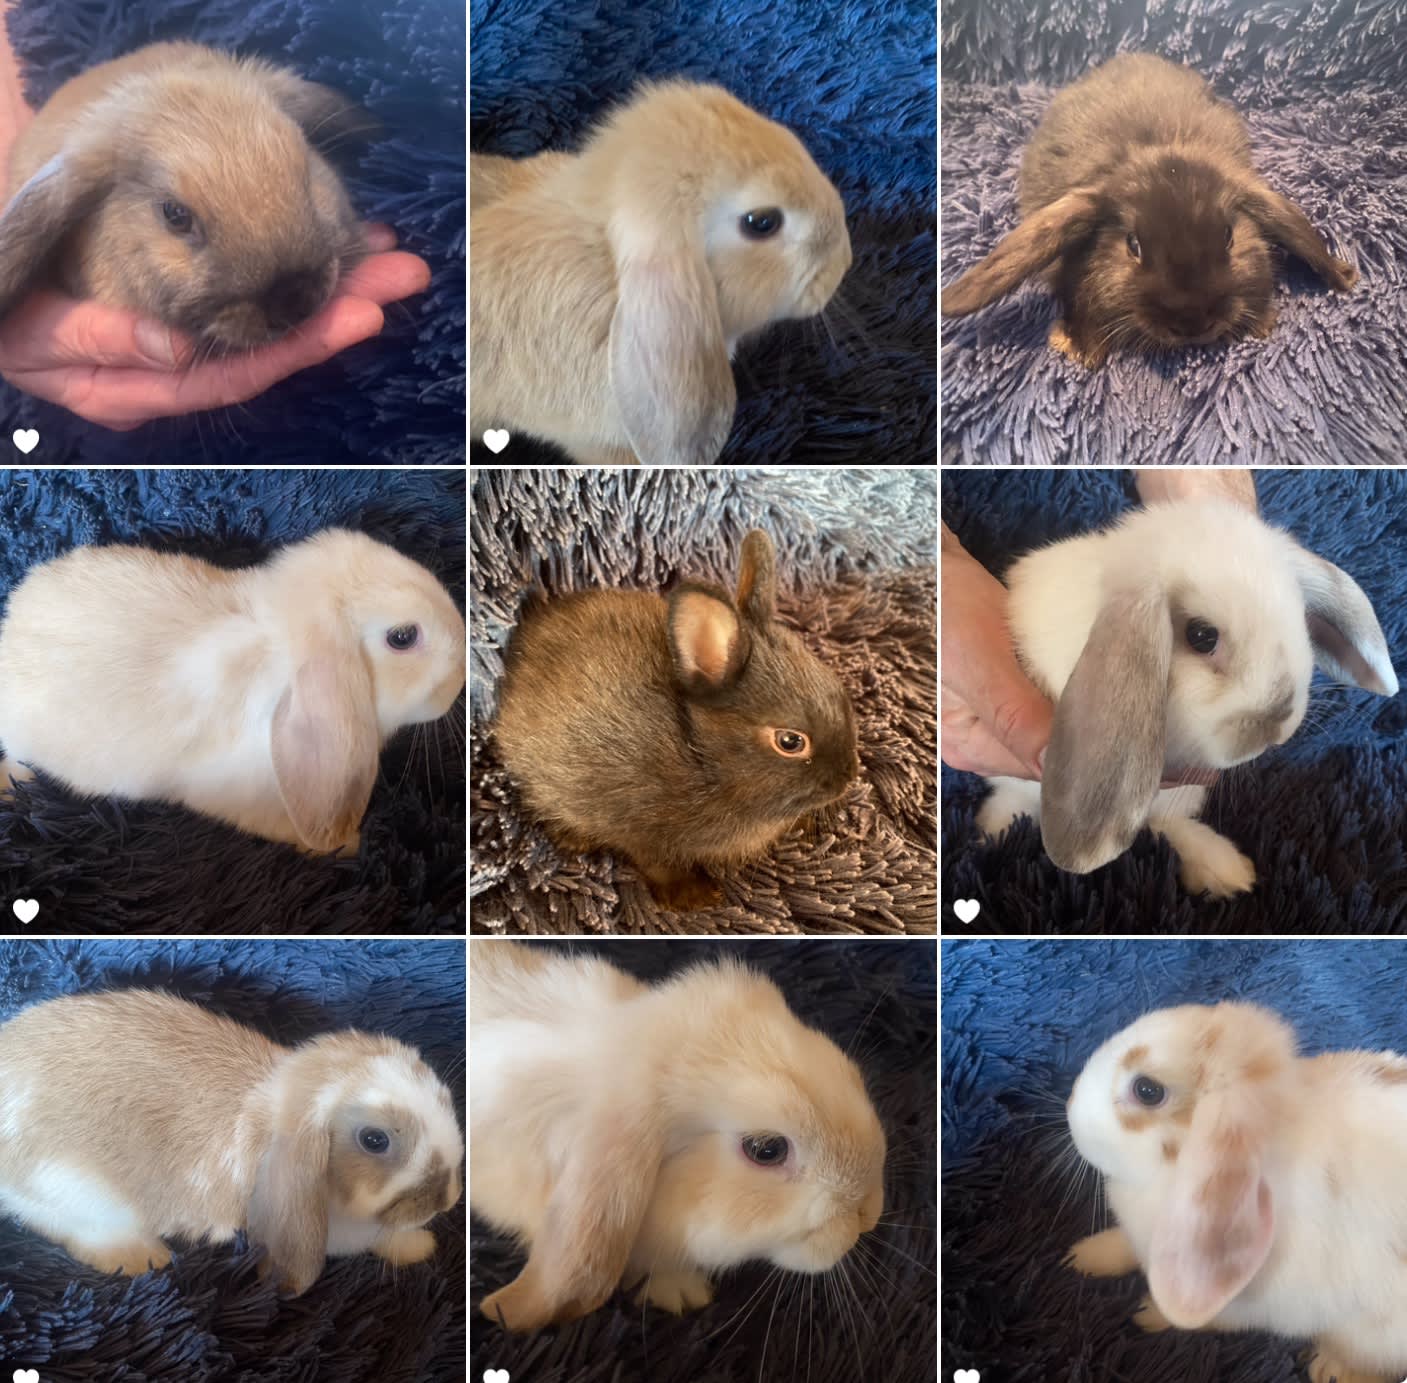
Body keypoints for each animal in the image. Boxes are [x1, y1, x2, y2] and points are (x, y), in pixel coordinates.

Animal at [0, 989, 463, 1295]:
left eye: (444, 1097)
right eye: (374, 1139)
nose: (448, 1198)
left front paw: (419, 1245)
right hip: (76, 1189)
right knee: (63, 1227)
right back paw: (139, 1256)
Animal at [492, 528, 859, 911]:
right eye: (790, 741)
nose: (847, 778)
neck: (700, 751)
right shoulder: (639, 831)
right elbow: (659, 864)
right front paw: (695, 897)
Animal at [1065, 1000, 1407, 1383]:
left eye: (1147, 1090)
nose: (1069, 1103)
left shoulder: (1249, 1306)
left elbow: (1202, 1320)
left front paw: (1147, 1313)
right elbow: (1121, 1247)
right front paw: (1084, 1256)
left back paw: (1330, 1368)